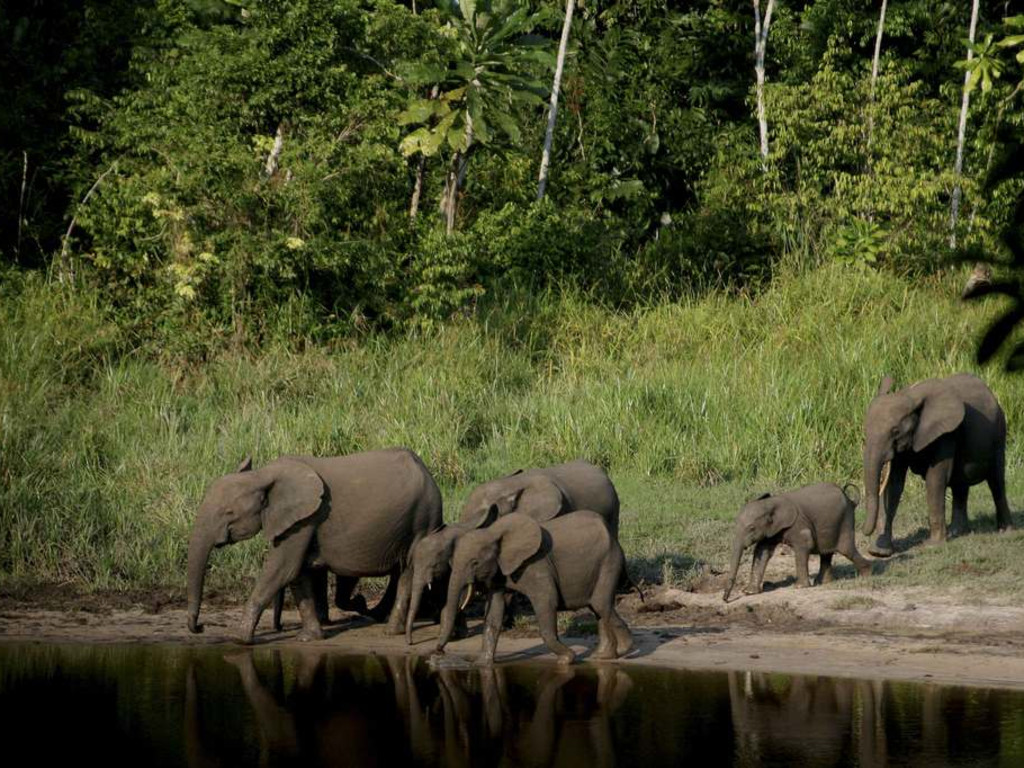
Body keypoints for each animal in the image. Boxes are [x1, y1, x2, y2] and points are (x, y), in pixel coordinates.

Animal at [186, 448, 442, 643]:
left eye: (229, 512)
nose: (200, 627)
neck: (263, 475)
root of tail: (427, 472)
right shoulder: (299, 521)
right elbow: (298, 573)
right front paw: (309, 638)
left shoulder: (306, 519)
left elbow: (283, 569)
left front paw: (239, 639)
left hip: (422, 521)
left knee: (408, 572)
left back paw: (389, 631)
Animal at [434, 510, 633, 665]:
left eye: (474, 563)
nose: (438, 652)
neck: (494, 532)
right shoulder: (500, 572)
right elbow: (494, 613)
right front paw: (482, 663)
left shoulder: (537, 565)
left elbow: (547, 601)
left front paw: (566, 660)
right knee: (597, 609)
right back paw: (603, 656)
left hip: (609, 562)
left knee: (601, 604)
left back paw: (624, 650)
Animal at [723, 483, 871, 602]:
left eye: (751, 528)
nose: (725, 599)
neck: (771, 503)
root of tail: (851, 500)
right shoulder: (771, 530)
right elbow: (762, 552)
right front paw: (749, 592)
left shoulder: (798, 523)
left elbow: (805, 543)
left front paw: (799, 587)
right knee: (826, 552)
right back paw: (823, 582)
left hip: (845, 522)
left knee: (846, 550)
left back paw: (866, 575)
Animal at [863, 373, 1013, 557]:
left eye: (895, 431)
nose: (864, 531)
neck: (909, 396)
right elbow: (894, 485)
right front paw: (879, 552)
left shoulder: (945, 433)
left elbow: (935, 478)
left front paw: (932, 546)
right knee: (960, 484)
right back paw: (957, 532)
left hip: (999, 434)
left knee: (996, 481)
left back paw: (1006, 531)